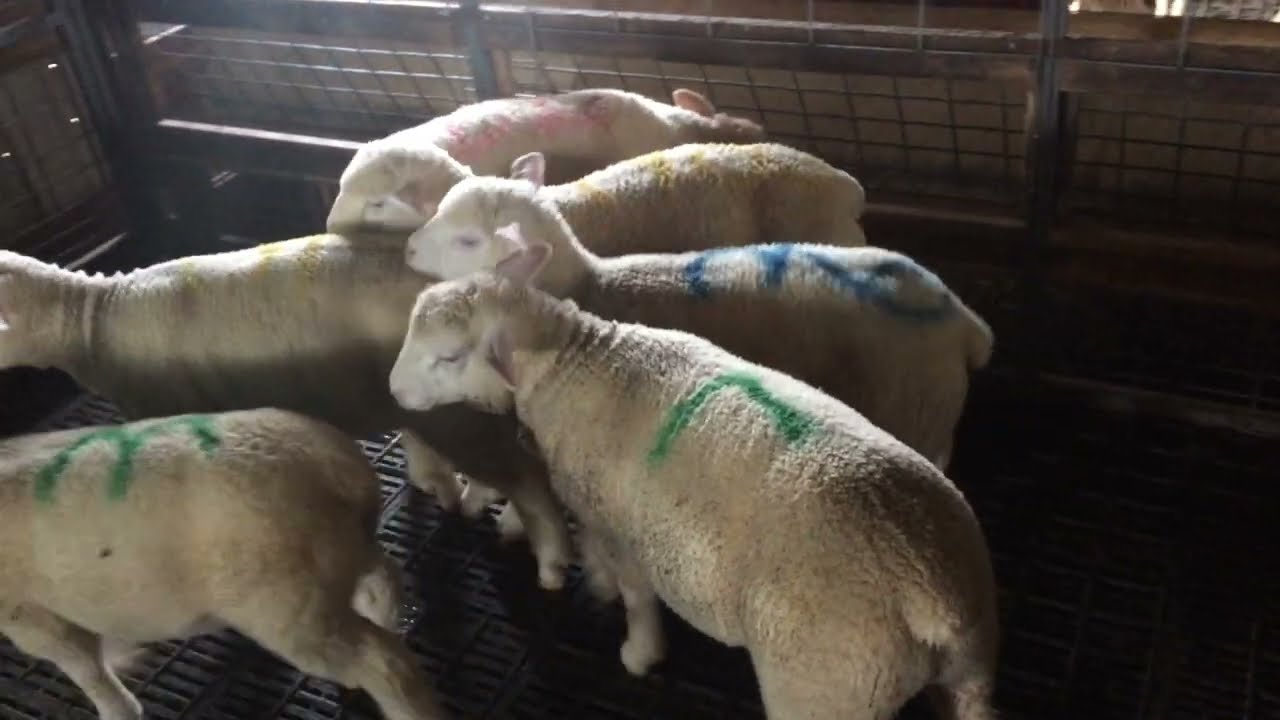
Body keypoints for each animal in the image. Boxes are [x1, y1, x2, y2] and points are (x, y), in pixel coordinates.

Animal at [0, 407, 447, 720]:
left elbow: (82, 663)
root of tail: (338, 472)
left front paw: (117, 710)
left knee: (387, 663)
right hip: (339, 558)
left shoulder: (27, 614)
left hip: (290, 607)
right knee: (385, 582)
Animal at [386, 255, 1001, 720]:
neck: (574, 361)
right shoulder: (594, 510)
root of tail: (927, 590)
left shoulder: (623, 527)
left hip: (825, 687)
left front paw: (638, 654)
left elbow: (637, 597)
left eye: (449, 356)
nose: (392, 389)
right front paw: (600, 587)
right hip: (968, 675)